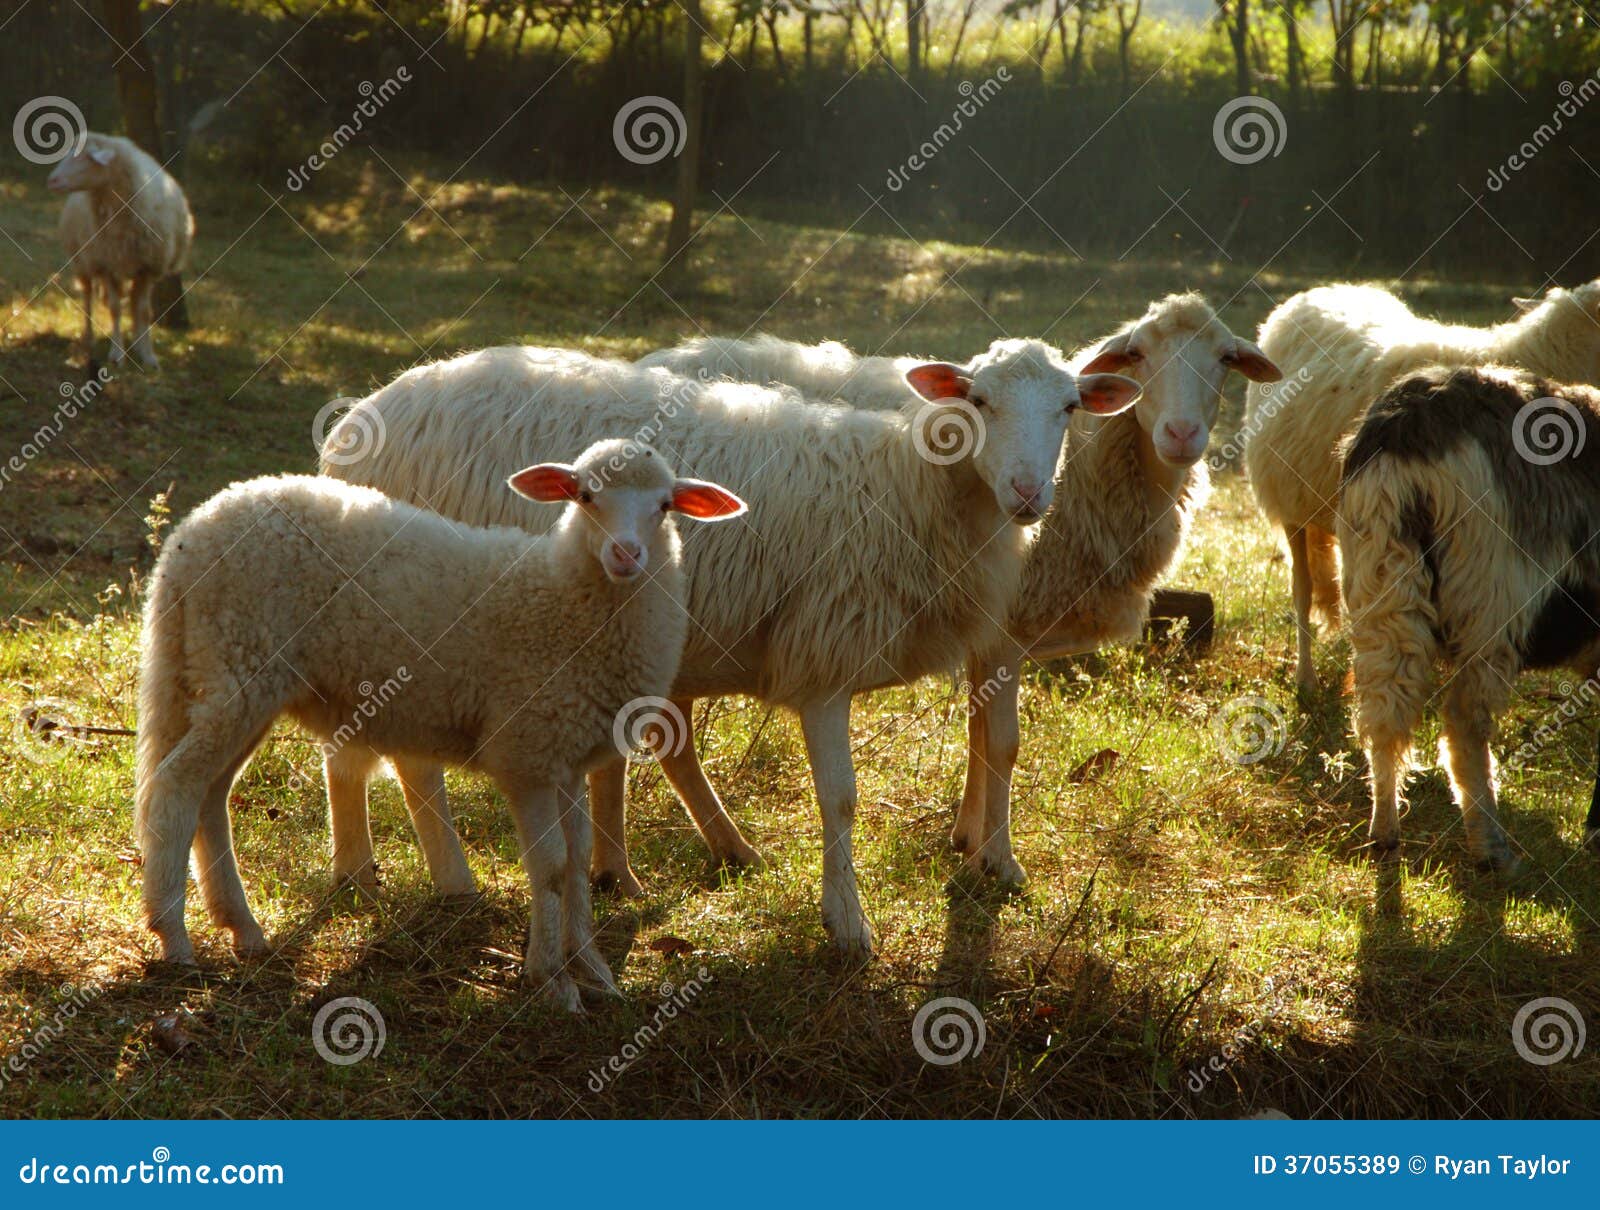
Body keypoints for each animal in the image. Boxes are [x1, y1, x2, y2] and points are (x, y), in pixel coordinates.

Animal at [47, 132, 194, 370]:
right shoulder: (107, 264)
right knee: (87, 296)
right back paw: (88, 337)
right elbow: (115, 308)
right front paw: (117, 354)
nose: (52, 180)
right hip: (82, 260)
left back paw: (136, 342)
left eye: (87, 157)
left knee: (133, 302)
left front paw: (148, 355)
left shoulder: (148, 267)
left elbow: (144, 311)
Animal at [135, 438, 746, 1009]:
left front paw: (592, 971)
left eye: (664, 506)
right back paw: (175, 939)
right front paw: (551, 980)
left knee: (211, 795)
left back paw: (241, 927)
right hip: (241, 666)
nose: (626, 554)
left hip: (228, 678)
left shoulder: (566, 755)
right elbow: (550, 866)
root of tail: (191, 536)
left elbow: (575, 863)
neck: (564, 597)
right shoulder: (525, 752)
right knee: (178, 784)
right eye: (585, 497)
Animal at [320, 342, 1142, 953]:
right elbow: (840, 799)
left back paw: (366, 870)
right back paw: (442, 878)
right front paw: (848, 924)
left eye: (1070, 408)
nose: (1029, 495)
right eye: (977, 402)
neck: (907, 489)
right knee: (410, 761)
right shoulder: (823, 658)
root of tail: (361, 421)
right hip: (420, 612)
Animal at [641, 294, 1282, 883]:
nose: (1182, 434)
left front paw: (968, 837)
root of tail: (659, 356)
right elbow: (1001, 743)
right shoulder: (1000, 626)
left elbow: (979, 736)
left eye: (1226, 358)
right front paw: (997, 859)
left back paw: (724, 848)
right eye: (1139, 354)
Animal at [1339, 364, 1600, 869]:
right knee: (1463, 724)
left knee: (1383, 712)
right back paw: (1491, 849)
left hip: (1382, 577)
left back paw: (1384, 832)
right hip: (1492, 599)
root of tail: (1405, 429)